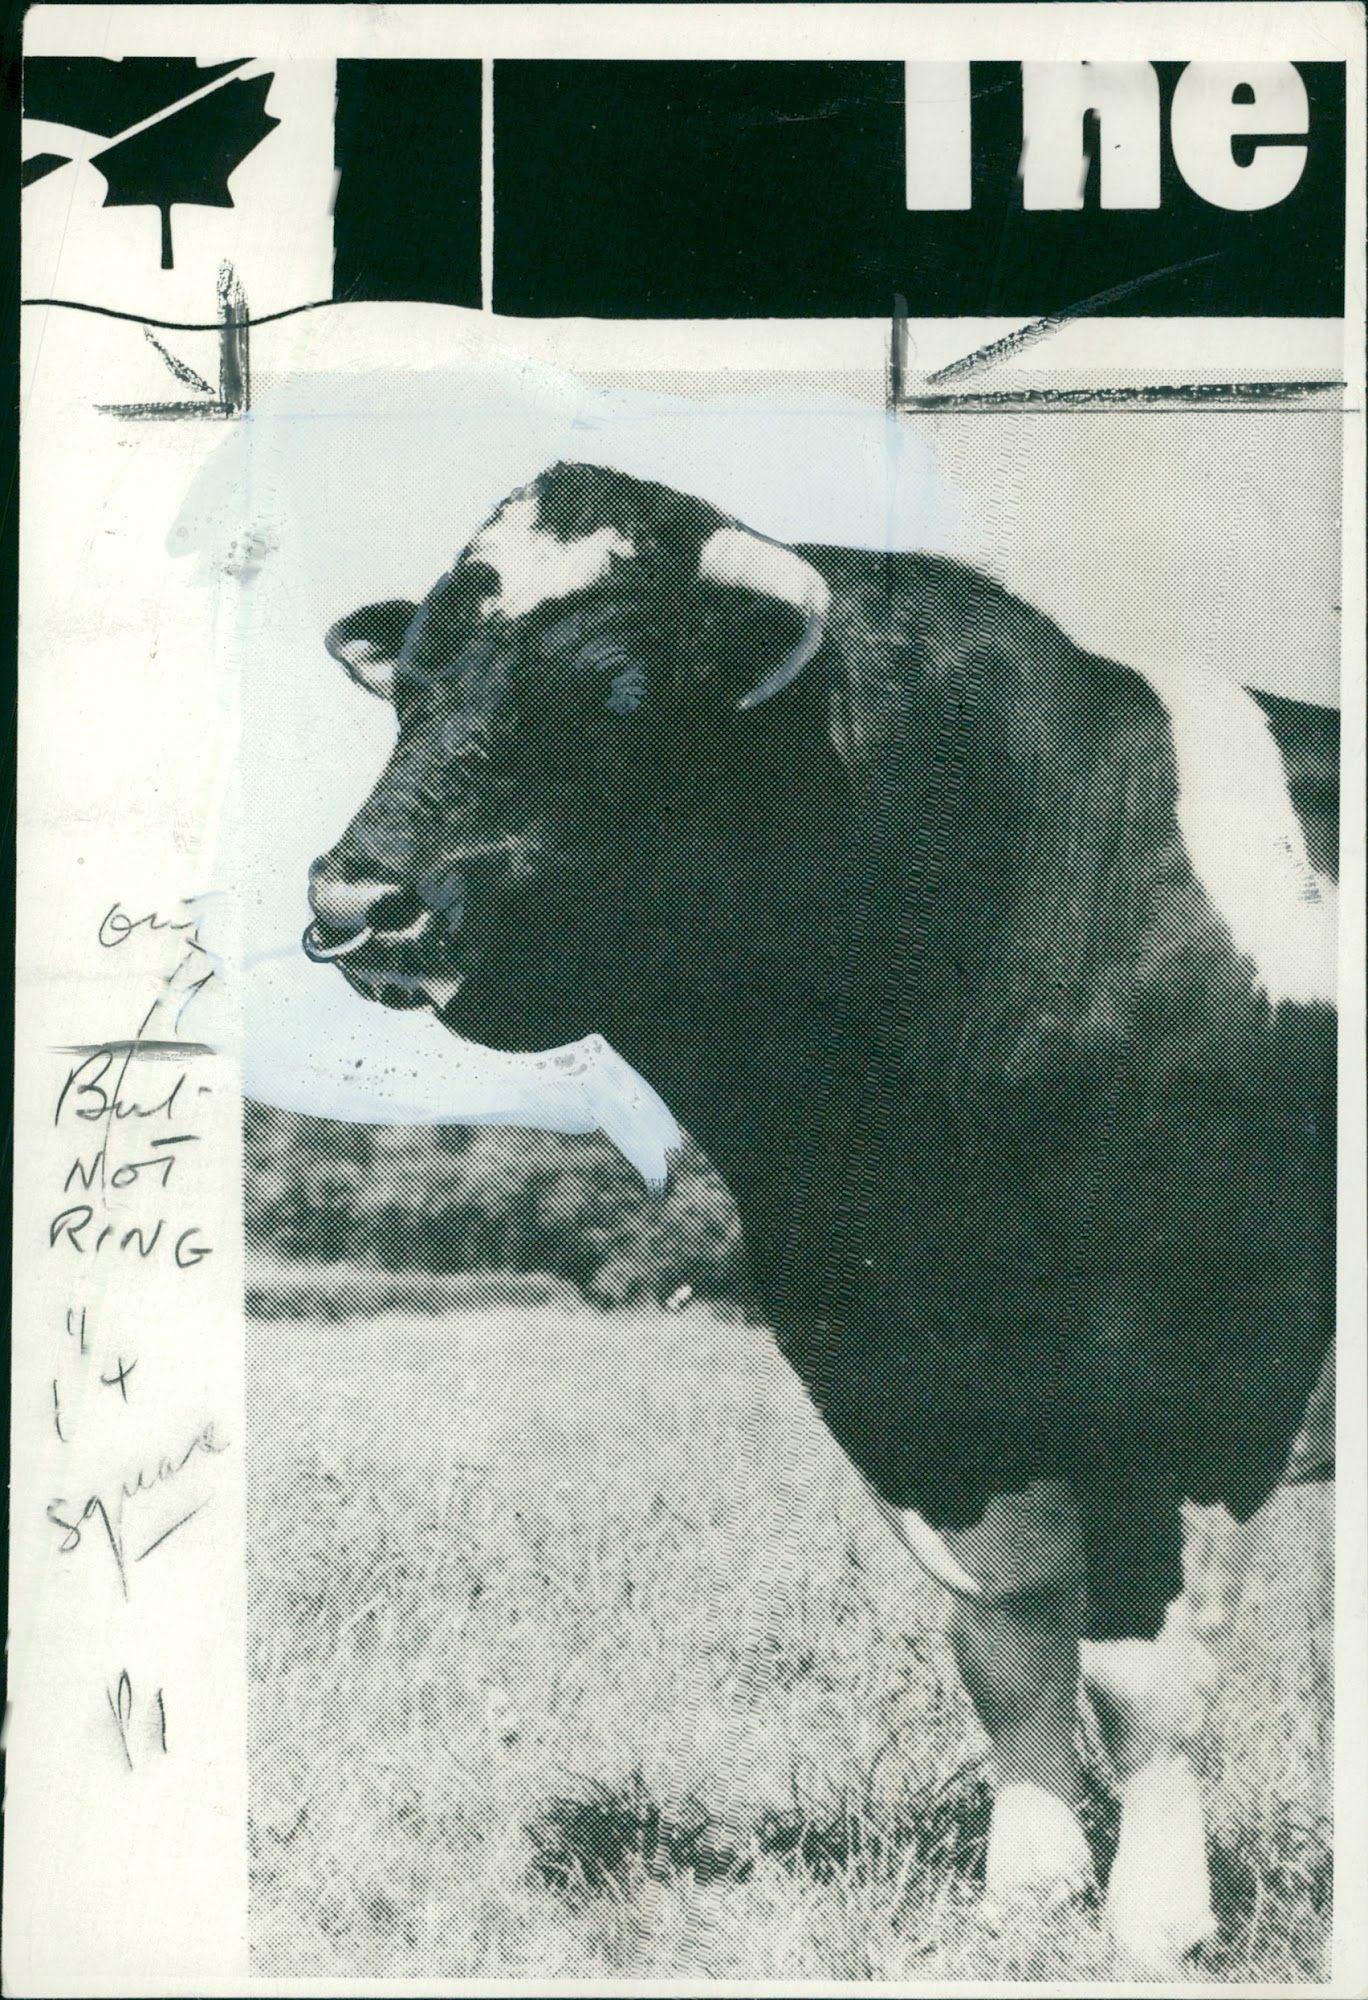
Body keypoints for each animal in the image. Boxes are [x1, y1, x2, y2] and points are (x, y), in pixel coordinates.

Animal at [303, 462, 1337, 1972]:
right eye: (411, 686)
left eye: (618, 683)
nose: (355, 896)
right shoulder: (912, 1378)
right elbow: (1007, 1648)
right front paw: (1027, 1895)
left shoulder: (1200, 1357)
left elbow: (1145, 1671)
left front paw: (1156, 1925)